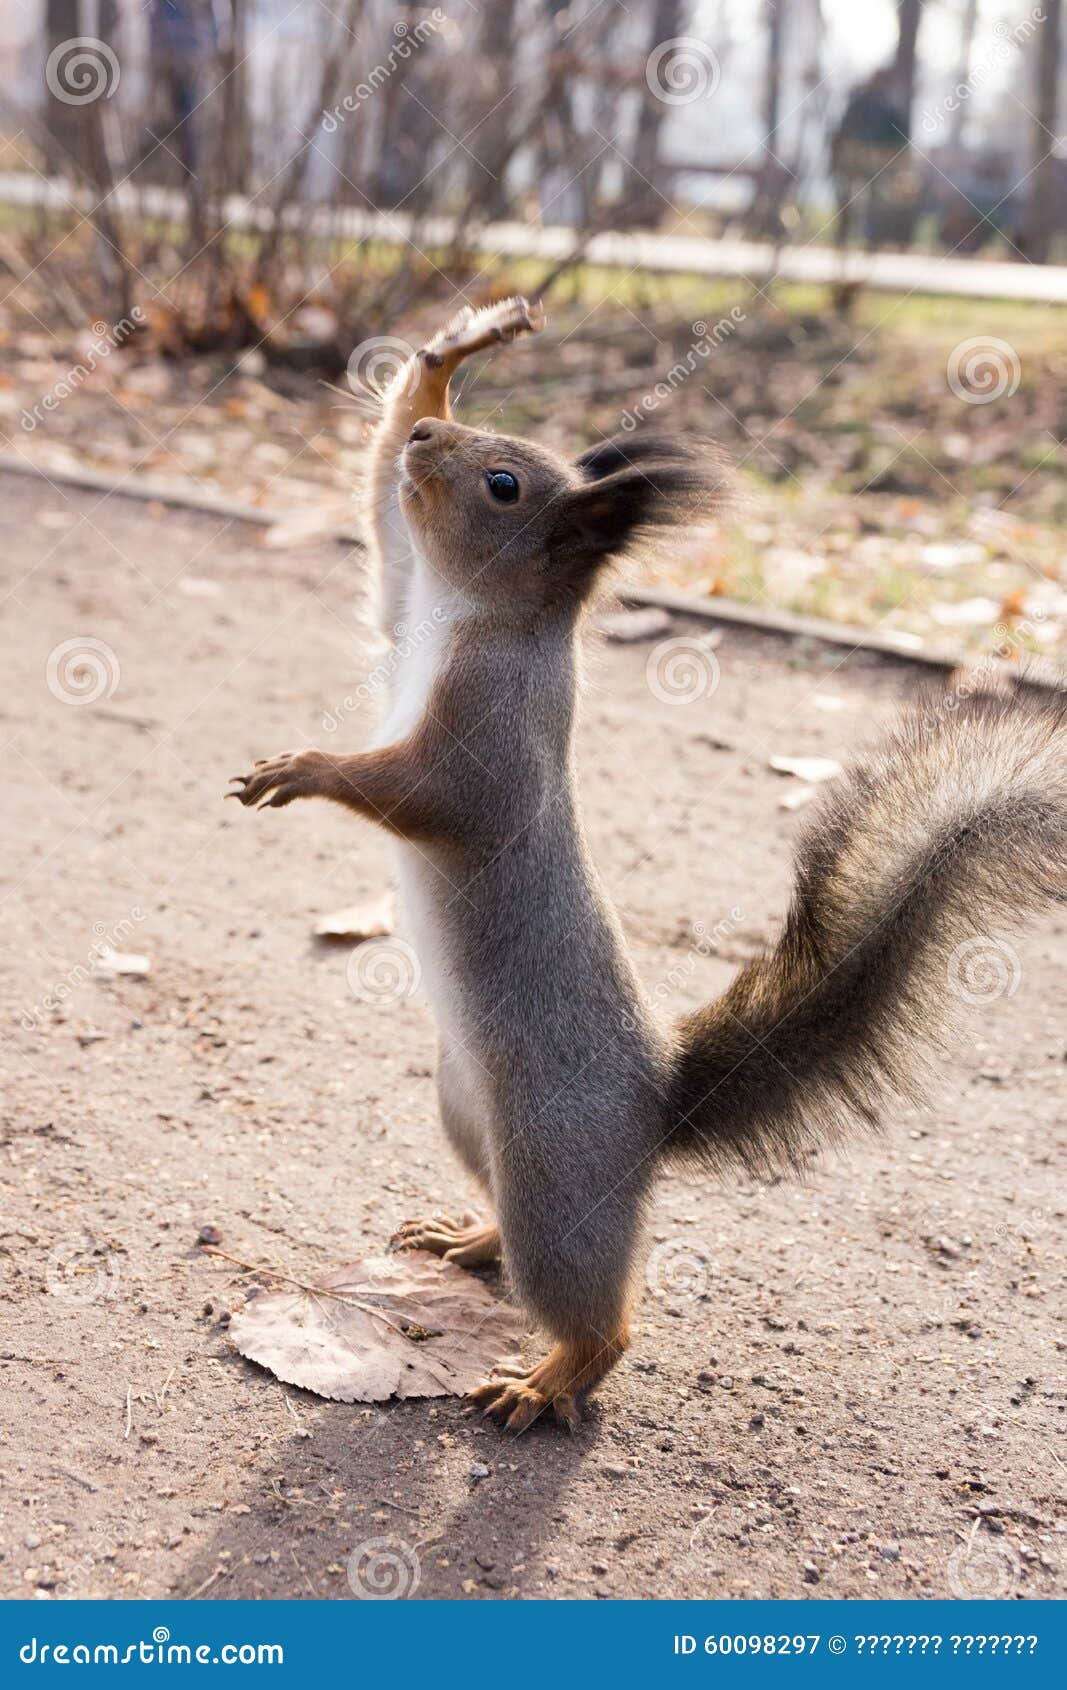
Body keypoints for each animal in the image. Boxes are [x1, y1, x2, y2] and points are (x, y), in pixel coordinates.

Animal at [231, 295, 1067, 1433]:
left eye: (503, 484)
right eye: (465, 436)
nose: (428, 437)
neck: (468, 618)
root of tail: (654, 1104)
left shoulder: (485, 747)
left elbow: (428, 799)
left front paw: (302, 768)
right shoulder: (405, 598)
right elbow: (378, 515)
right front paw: (461, 343)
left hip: (554, 1169)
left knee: (597, 1313)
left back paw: (545, 1381)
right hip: (465, 1114)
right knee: (508, 1221)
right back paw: (470, 1241)